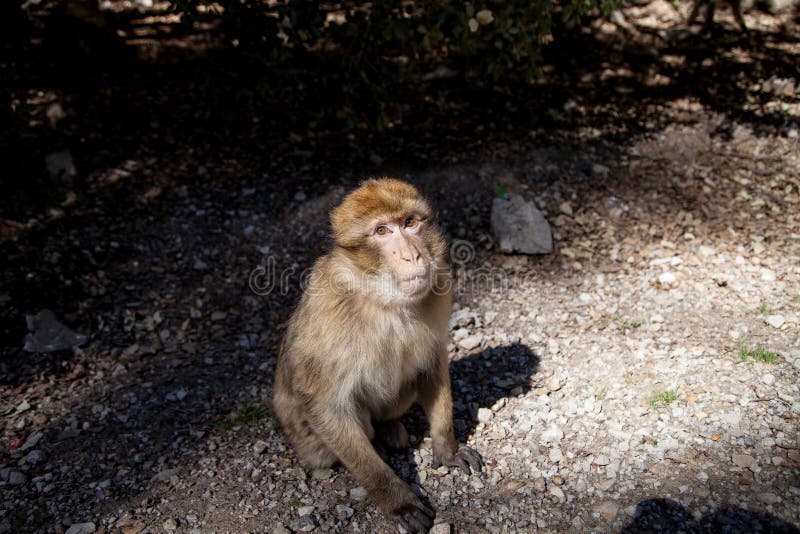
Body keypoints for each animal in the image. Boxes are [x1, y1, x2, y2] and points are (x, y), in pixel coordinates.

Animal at [273, 178, 482, 532]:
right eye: (382, 231)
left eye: (409, 223)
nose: (412, 255)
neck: (384, 300)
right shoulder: (329, 311)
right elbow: (326, 405)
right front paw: (397, 501)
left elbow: (432, 363)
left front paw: (447, 448)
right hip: (304, 437)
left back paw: (390, 427)